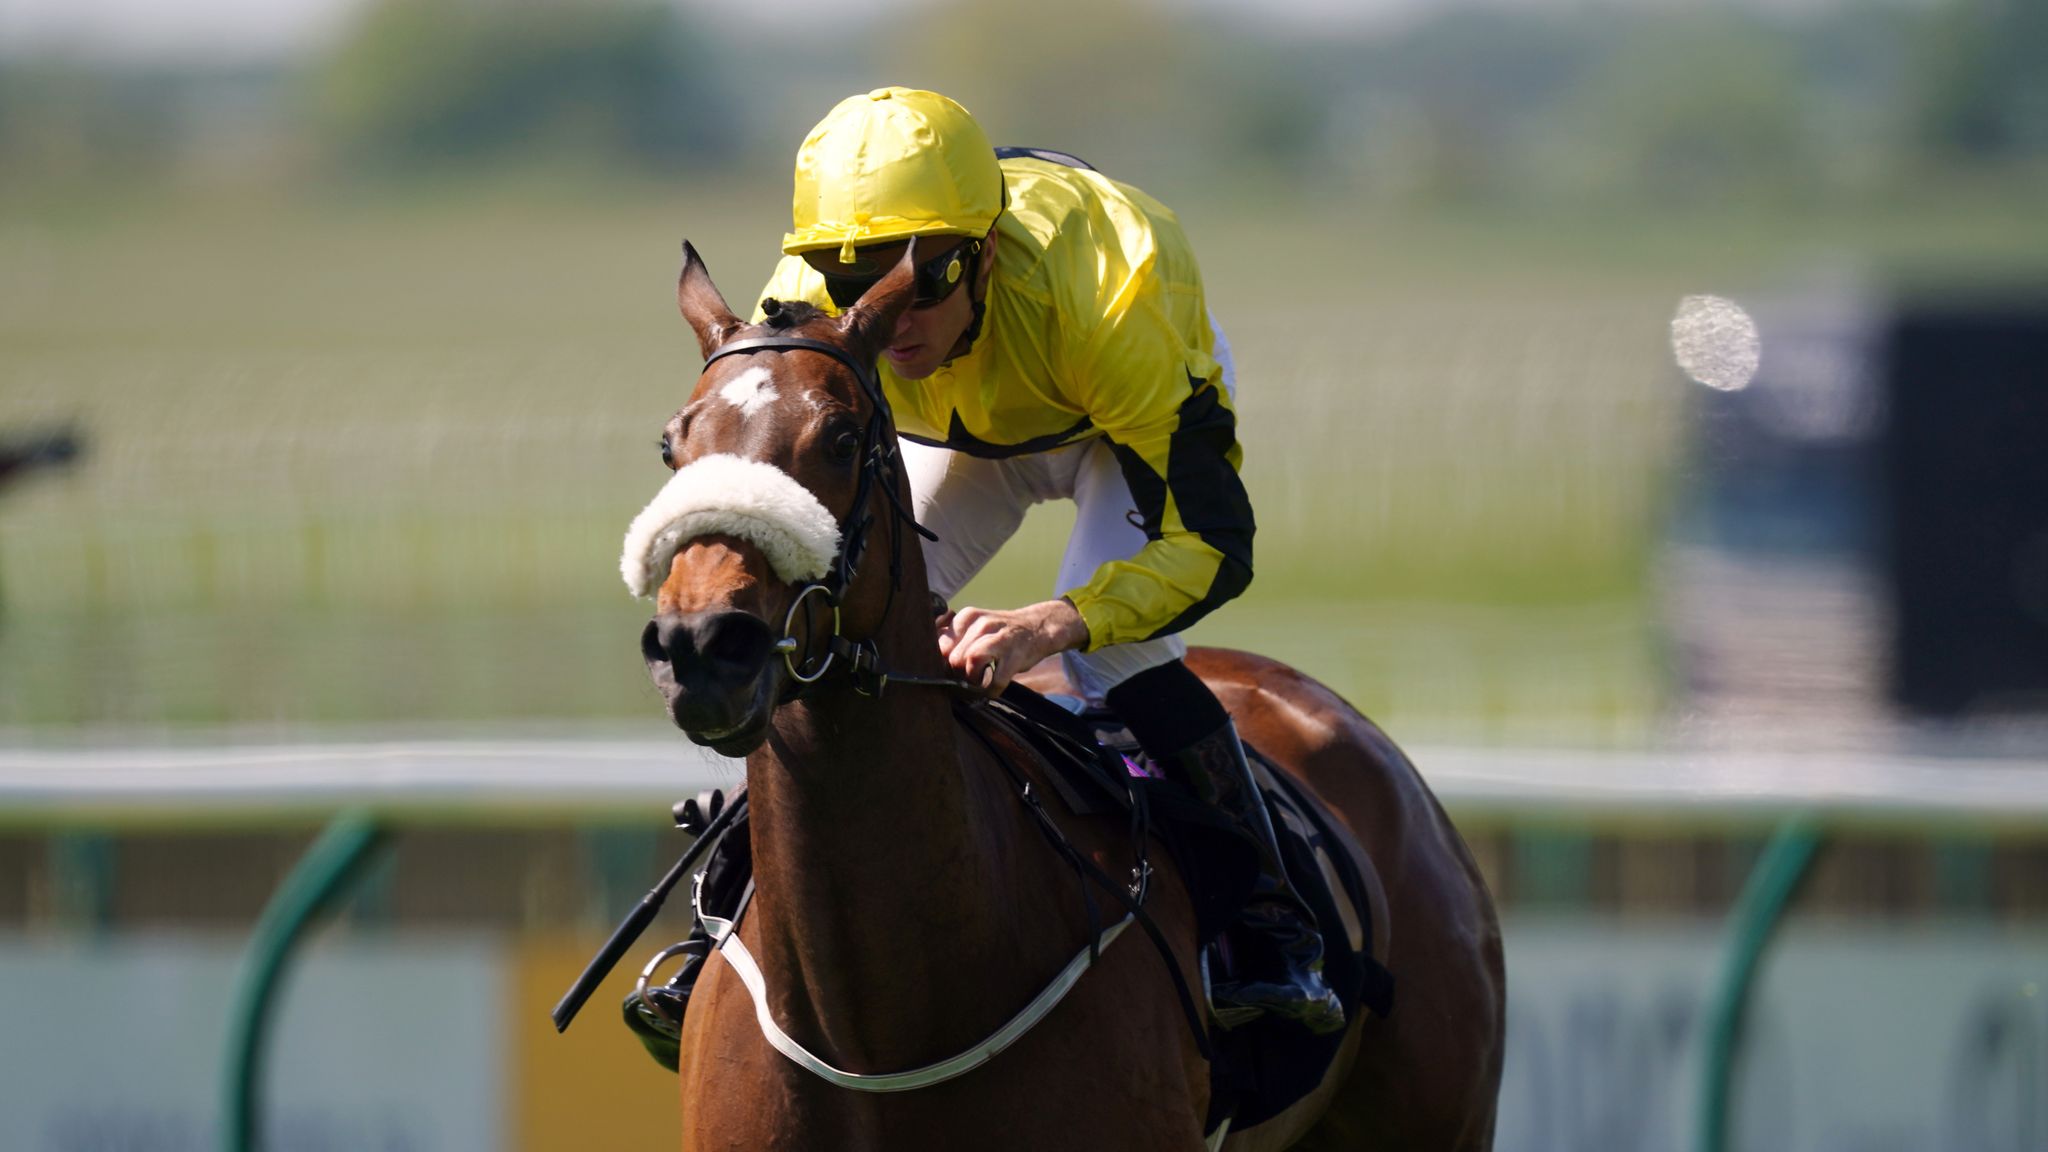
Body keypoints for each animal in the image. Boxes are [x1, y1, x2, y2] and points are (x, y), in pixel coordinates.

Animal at [630, 240, 1505, 1150]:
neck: (878, 1023)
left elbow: (1211, 543)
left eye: (838, 439)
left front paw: (1002, 636)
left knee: (1135, 662)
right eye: (670, 446)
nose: (703, 647)